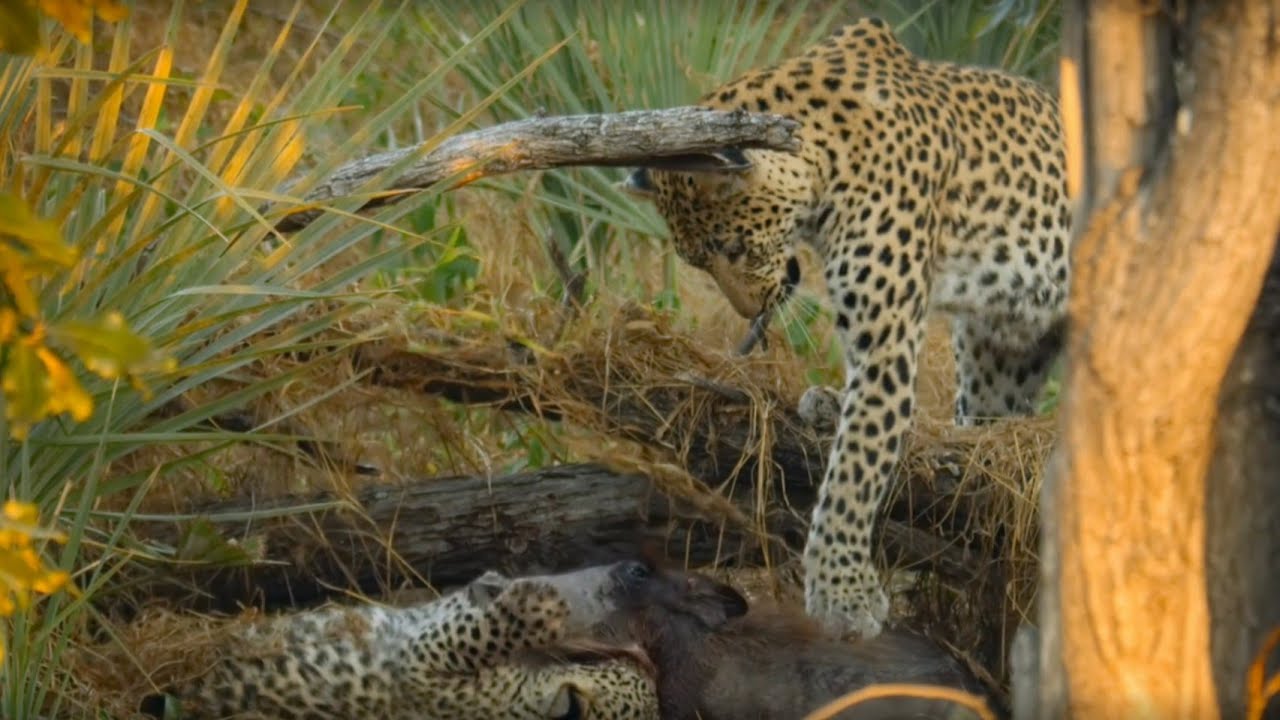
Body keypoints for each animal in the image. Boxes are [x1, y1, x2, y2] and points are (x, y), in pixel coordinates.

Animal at [623, 17, 1070, 639]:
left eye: (733, 247)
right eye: (696, 261)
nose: (750, 310)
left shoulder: (887, 339)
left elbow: (857, 464)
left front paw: (841, 592)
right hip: (999, 352)